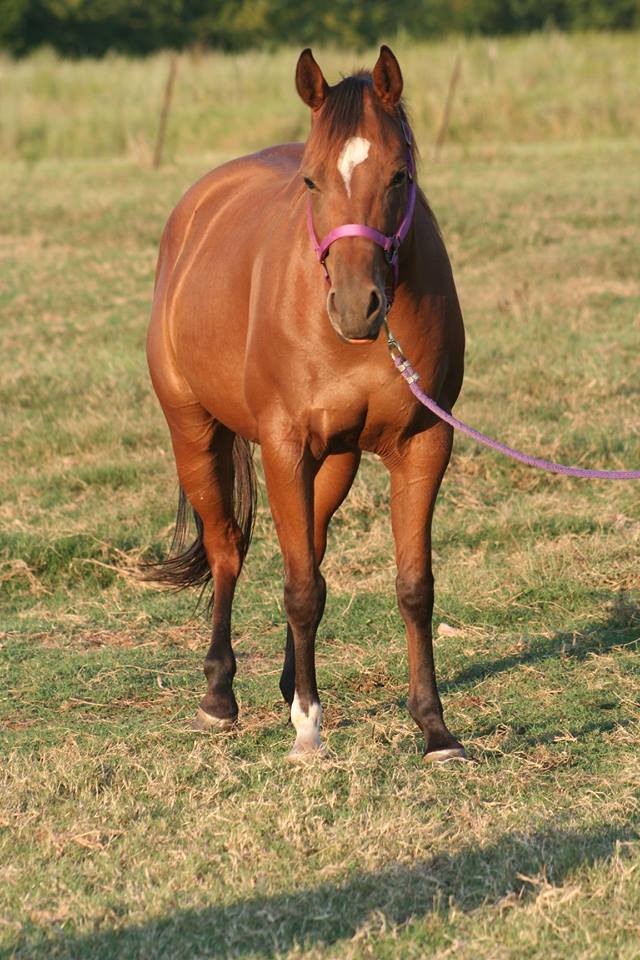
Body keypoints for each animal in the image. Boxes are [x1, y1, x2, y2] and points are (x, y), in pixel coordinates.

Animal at [147, 45, 467, 763]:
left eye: (400, 175)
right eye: (312, 182)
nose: (355, 307)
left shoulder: (424, 443)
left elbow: (413, 586)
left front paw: (434, 728)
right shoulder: (285, 446)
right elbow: (296, 589)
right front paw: (307, 731)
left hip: (337, 461)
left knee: (311, 552)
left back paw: (291, 684)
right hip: (194, 432)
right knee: (228, 549)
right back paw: (220, 696)